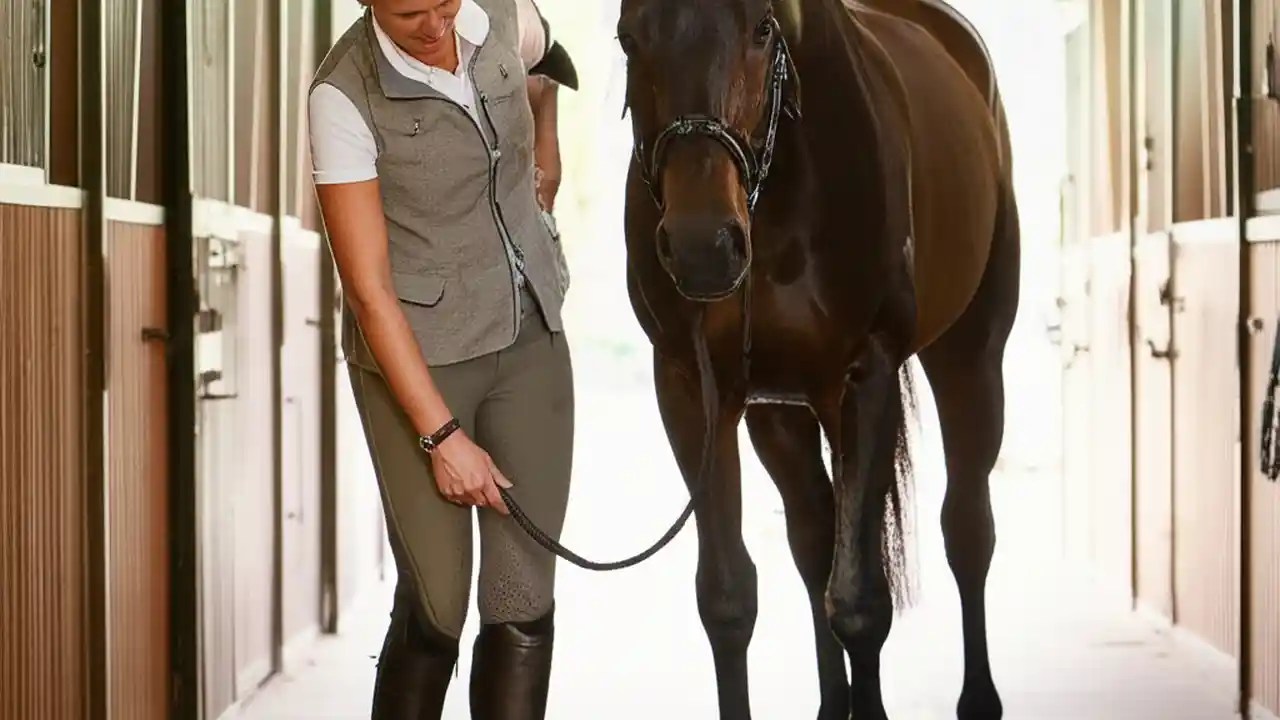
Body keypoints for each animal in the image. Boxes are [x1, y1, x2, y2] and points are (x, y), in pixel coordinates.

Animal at [615, 0, 1020, 717]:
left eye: (762, 29)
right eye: (628, 39)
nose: (702, 246)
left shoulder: (866, 379)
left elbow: (860, 603)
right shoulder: (693, 389)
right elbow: (728, 599)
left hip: (970, 358)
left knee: (968, 528)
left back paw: (978, 699)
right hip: (782, 411)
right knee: (813, 538)